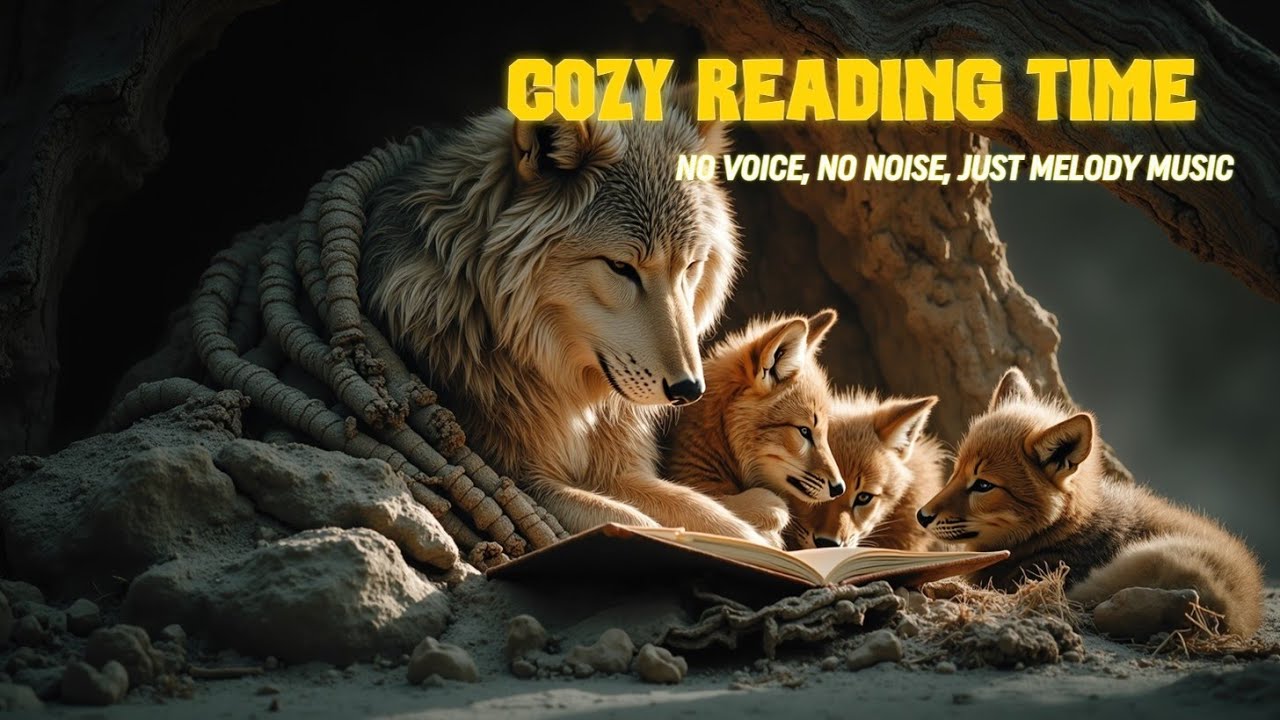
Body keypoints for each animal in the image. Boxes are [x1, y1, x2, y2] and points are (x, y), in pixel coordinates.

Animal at [358, 83, 773, 542]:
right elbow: (636, 522)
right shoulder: (517, 479)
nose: (689, 389)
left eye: (689, 266)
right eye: (621, 267)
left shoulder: (620, 472)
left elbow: (711, 516)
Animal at [917, 367, 1264, 637]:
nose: (922, 516)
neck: (1064, 529)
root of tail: (1237, 610)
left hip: (1144, 558)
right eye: (956, 472)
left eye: (983, 485)